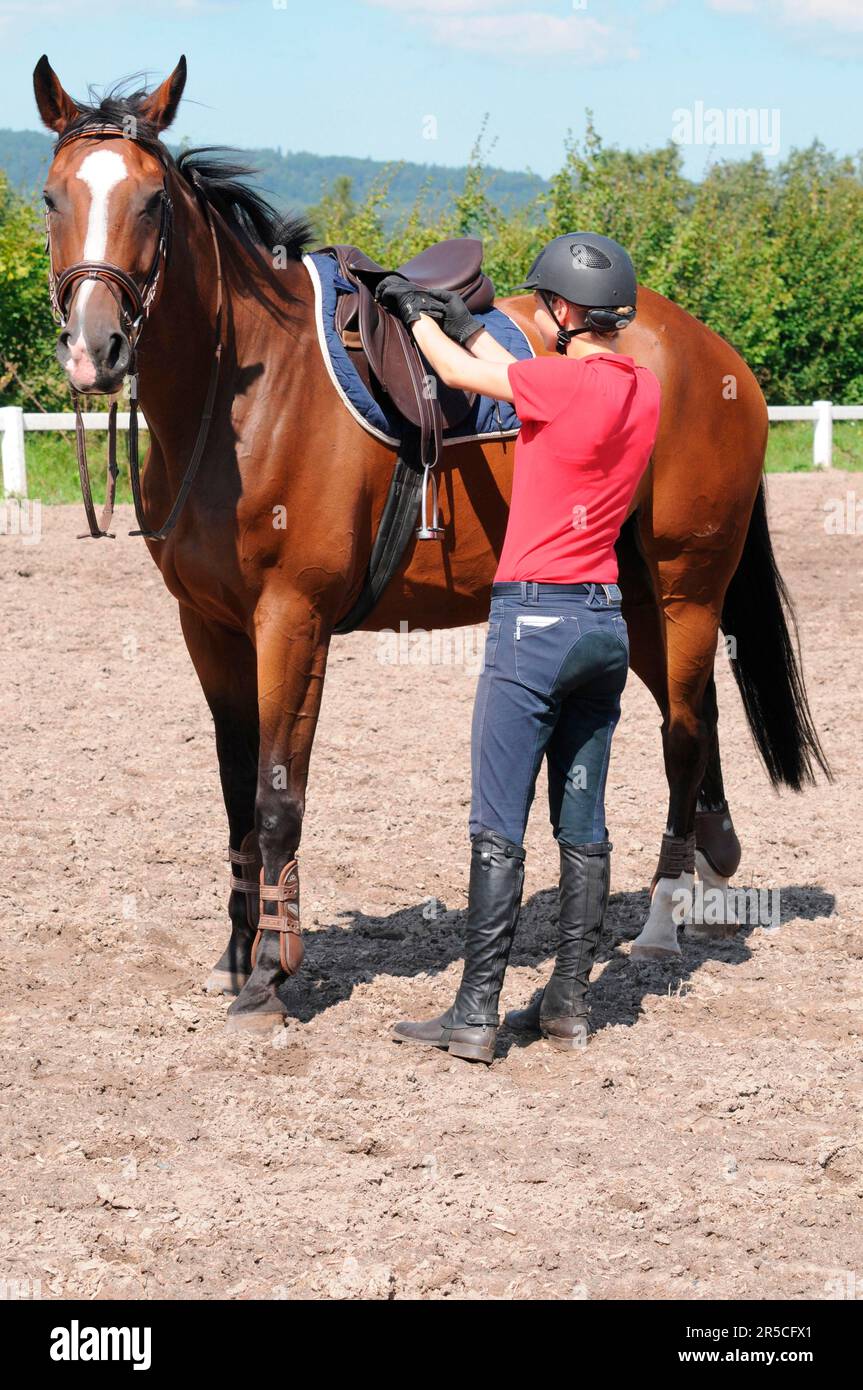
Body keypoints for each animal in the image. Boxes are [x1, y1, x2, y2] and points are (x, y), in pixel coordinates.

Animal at [33, 55, 829, 1032]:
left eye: (150, 203)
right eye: (52, 198)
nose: (94, 351)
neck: (243, 400)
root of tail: (715, 356)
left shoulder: (291, 622)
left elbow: (276, 795)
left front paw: (270, 978)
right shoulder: (208, 627)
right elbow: (232, 792)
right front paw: (234, 956)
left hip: (684, 585)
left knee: (682, 731)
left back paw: (661, 920)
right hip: (638, 598)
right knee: (700, 714)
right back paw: (714, 859)